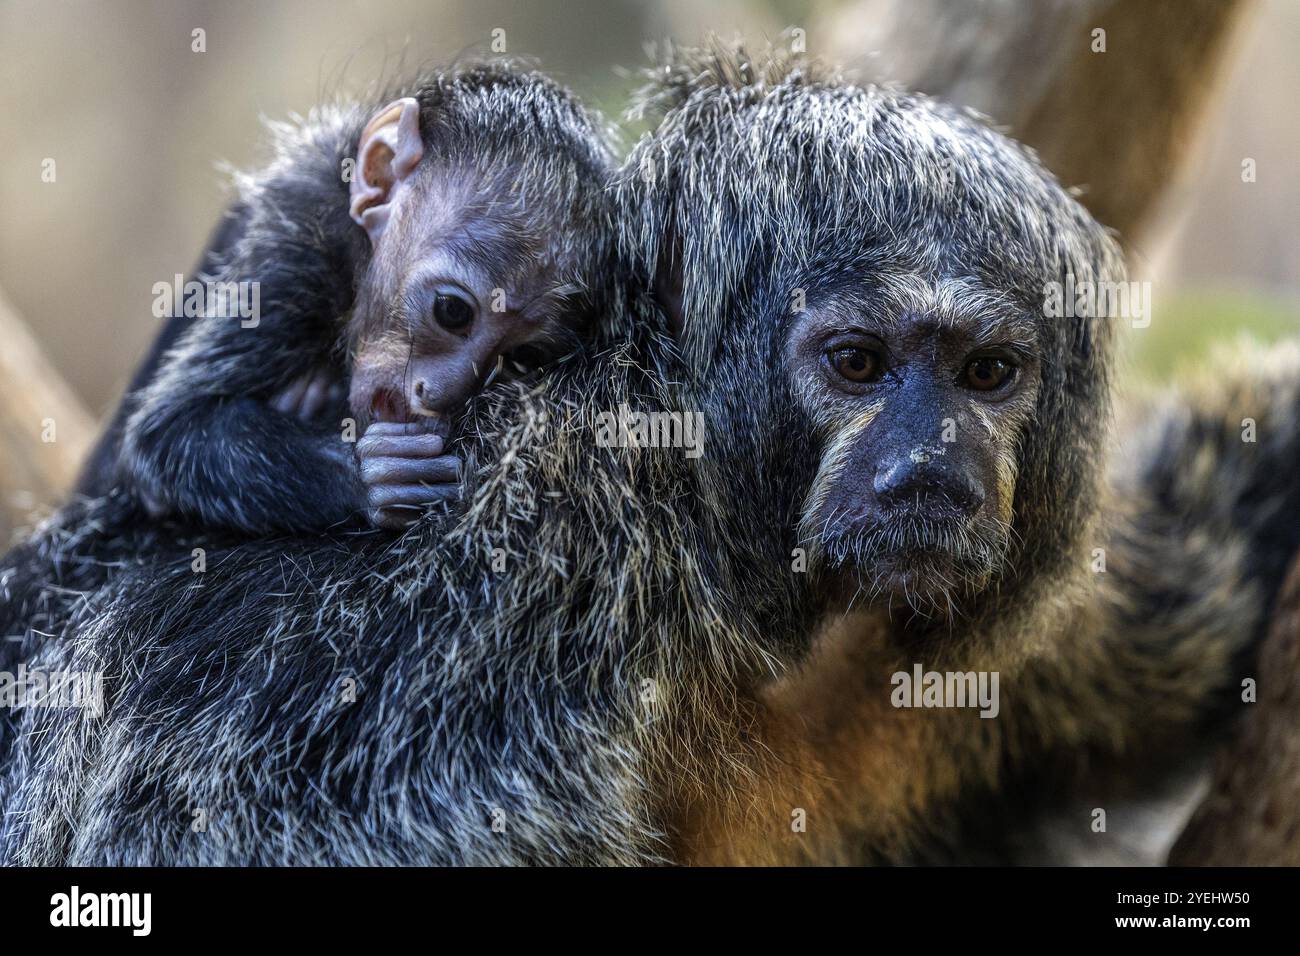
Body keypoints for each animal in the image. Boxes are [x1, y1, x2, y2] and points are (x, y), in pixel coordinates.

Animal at [113, 62, 615, 532]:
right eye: (452, 311)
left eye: (518, 359)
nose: (442, 393)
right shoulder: (300, 247)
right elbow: (165, 433)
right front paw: (368, 476)